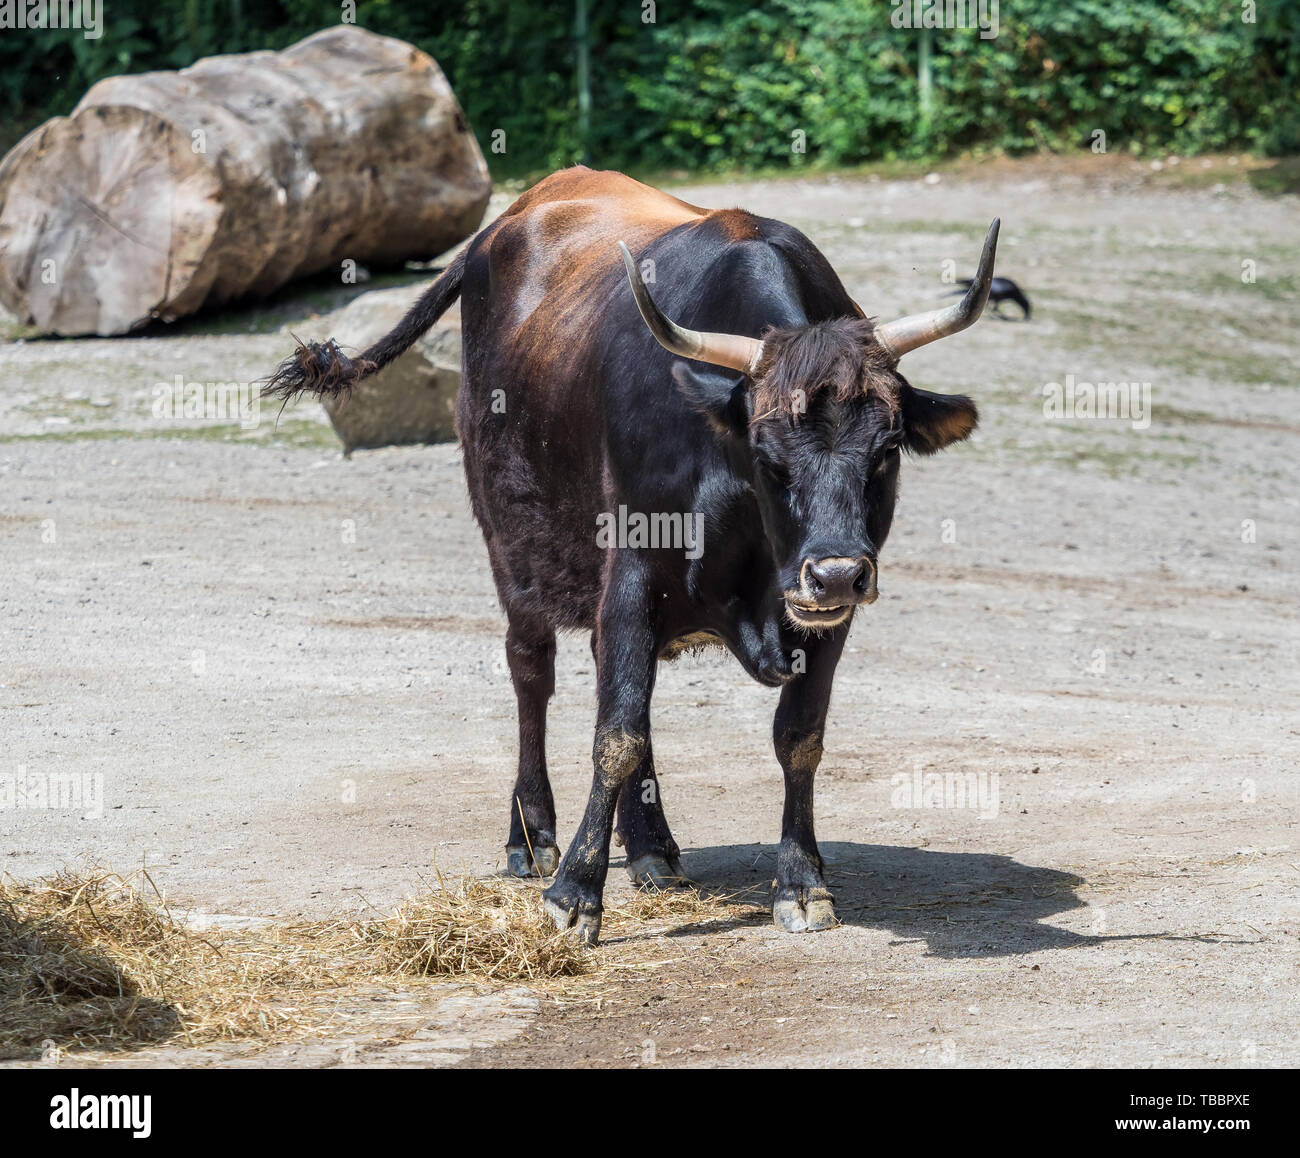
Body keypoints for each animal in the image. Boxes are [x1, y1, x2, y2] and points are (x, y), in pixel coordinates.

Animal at [265, 166, 1000, 944]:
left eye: (886, 451)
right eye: (768, 455)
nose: (836, 574)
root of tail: (504, 223)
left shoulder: (820, 620)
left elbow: (797, 735)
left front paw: (801, 882)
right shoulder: (634, 576)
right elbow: (613, 733)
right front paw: (573, 893)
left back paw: (651, 848)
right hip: (512, 548)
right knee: (533, 675)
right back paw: (533, 836)